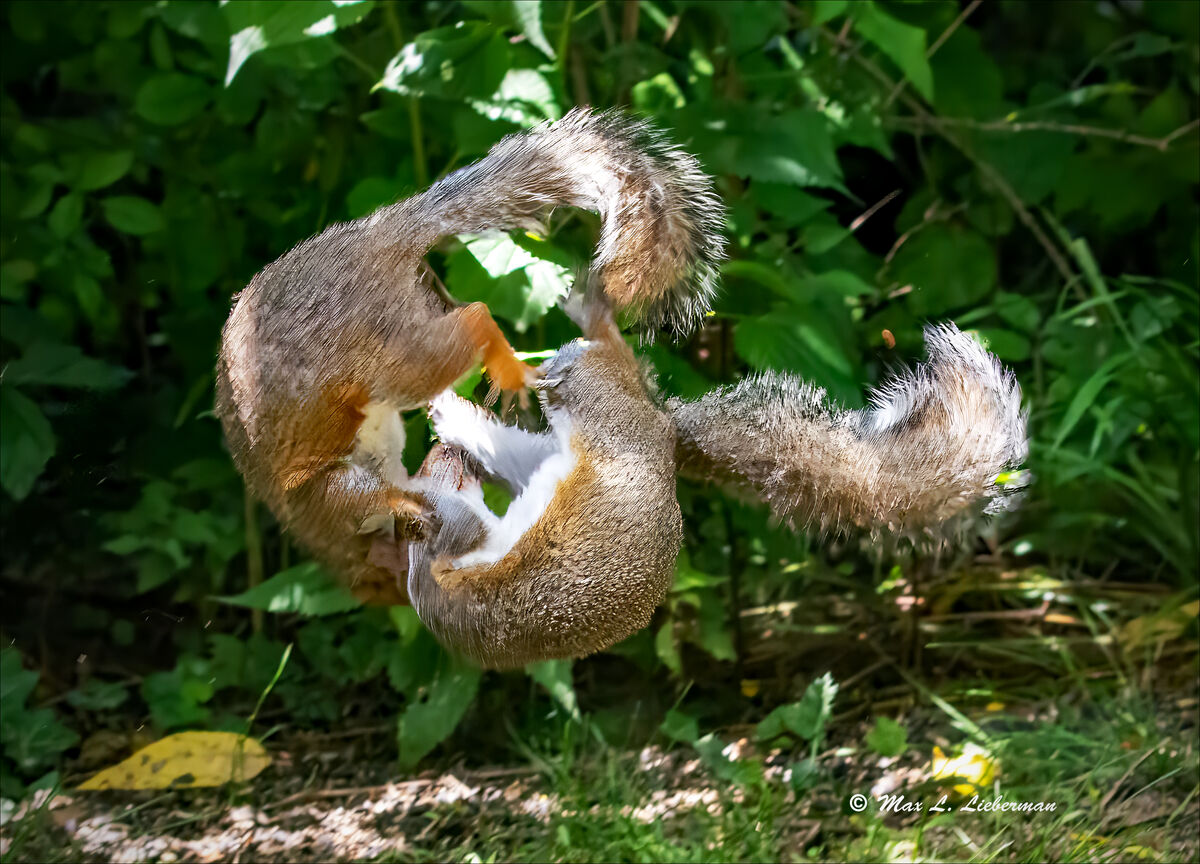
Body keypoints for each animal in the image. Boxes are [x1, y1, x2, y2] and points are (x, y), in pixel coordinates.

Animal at [215, 108, 724, 605]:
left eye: (382, 581)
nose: (403, 599)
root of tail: (372, 242)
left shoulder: (327, 493)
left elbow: (372, 494)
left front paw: (411, 501)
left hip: (389, 351)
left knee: (472, 320)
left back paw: (508, 368)